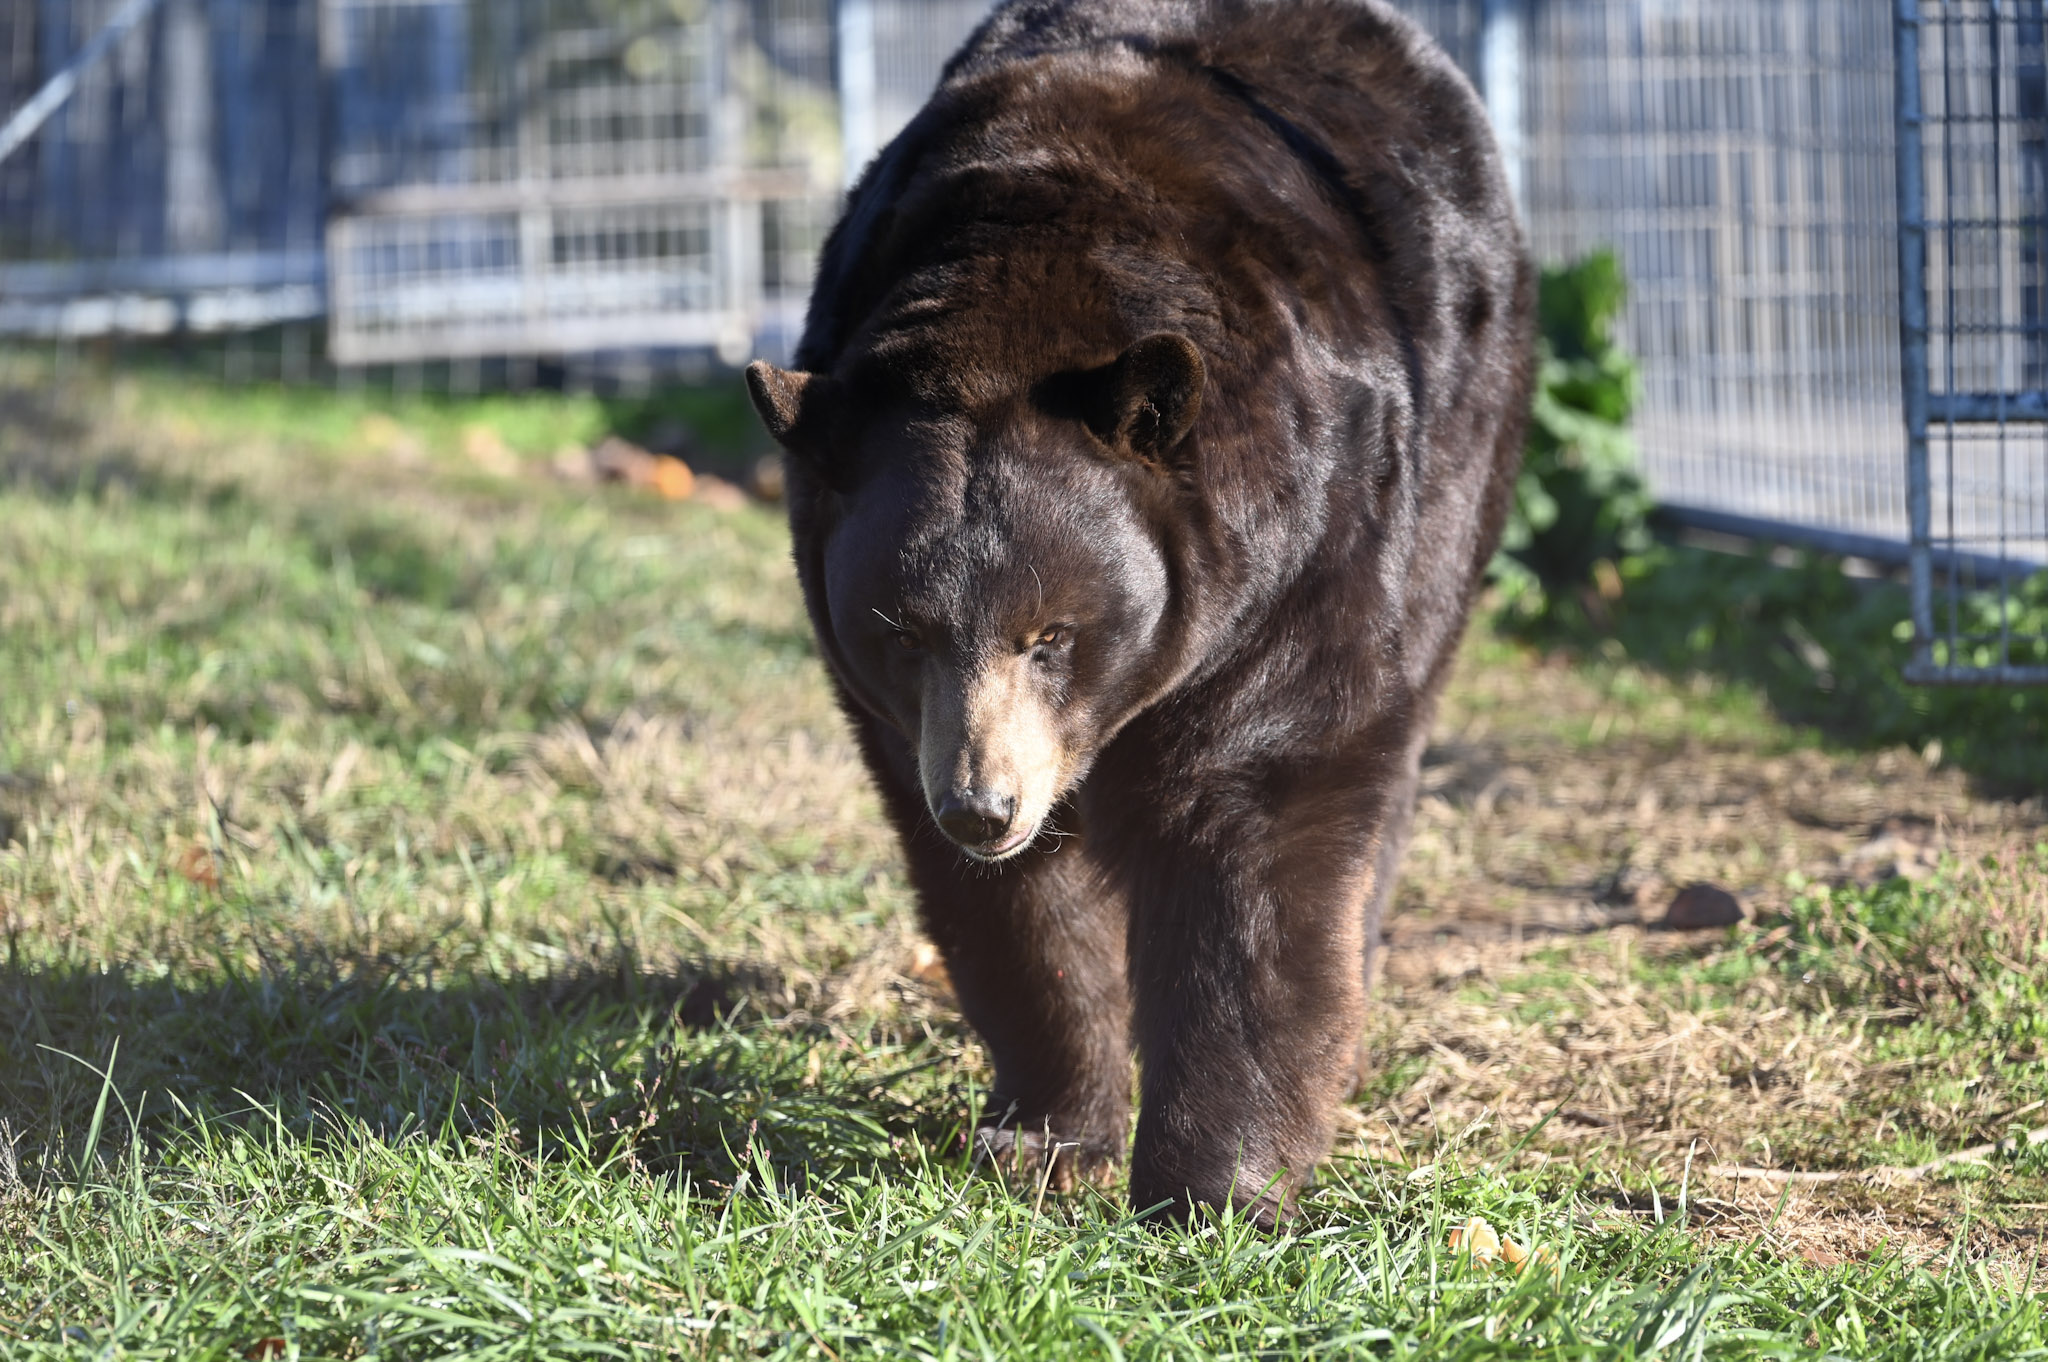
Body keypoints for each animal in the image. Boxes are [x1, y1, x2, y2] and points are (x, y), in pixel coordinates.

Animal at [745, 0, 1533, 1224]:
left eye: (1052, 635)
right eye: (901, 632)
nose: (982, 805)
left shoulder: (1307, 557)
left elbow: (1259, 831)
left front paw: (1213, 1186)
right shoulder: (898, 712)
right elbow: (1019, 909)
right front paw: (1045, 1136)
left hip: (1462, 468)